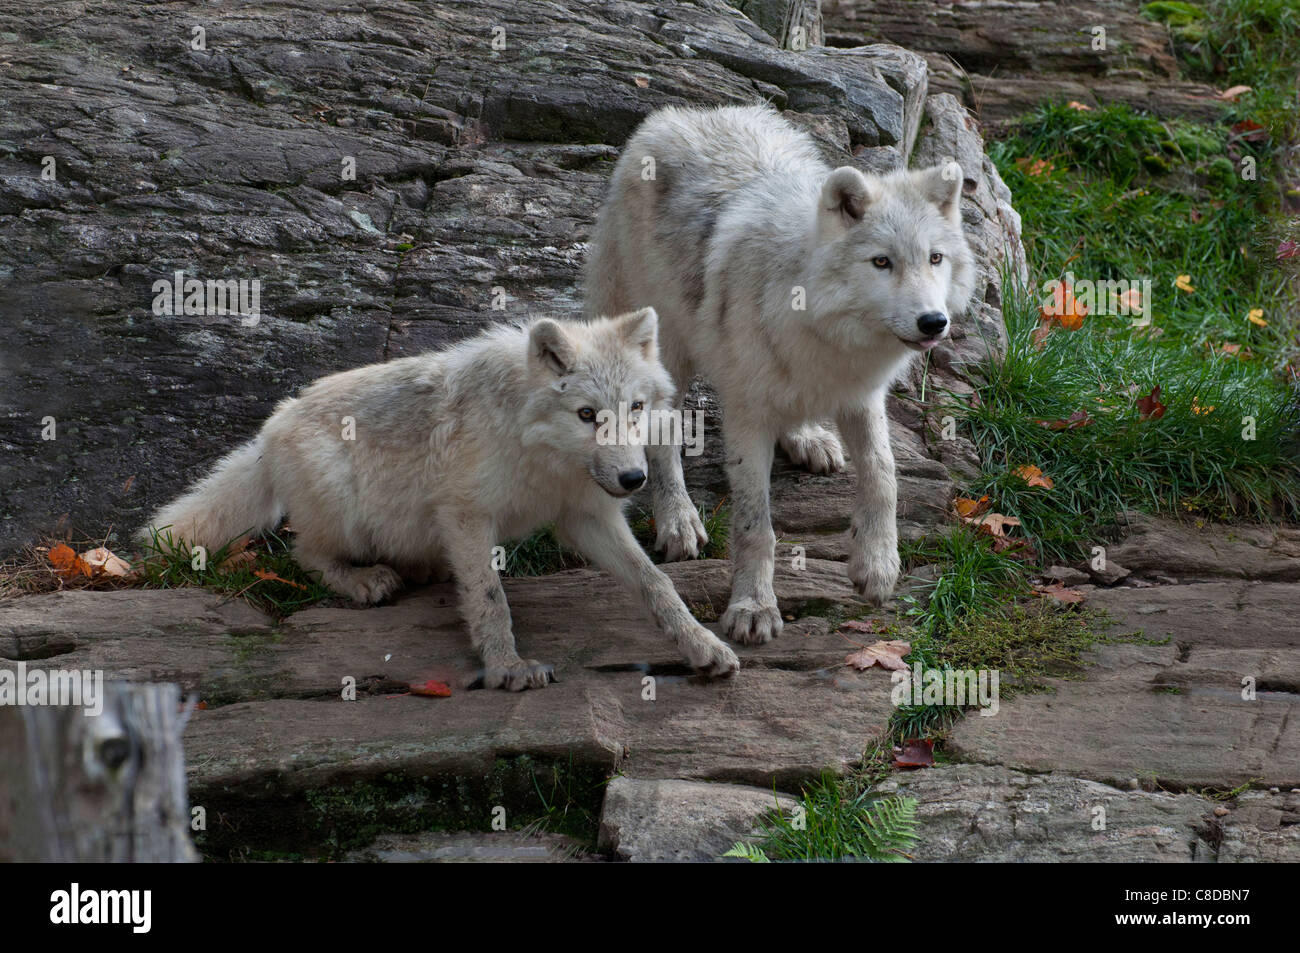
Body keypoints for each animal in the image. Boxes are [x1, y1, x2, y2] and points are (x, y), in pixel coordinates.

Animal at [141, 308, 740, 690]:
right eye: (588, 415)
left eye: (636, 407)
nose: (635, 478)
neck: (540, 455)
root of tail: (268, 429)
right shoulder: (467, 515)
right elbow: (490, 598)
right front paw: (507, 668)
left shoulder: (585, 518)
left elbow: (657, 583)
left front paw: (701, 646)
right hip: (343, 505)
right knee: (303, 553)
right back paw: (366, 581)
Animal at [585, 104, 975, 645]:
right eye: (882, 262)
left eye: (935, 258)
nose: (934, 322)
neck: (823, 331)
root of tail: (679, 114)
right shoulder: (747, 418)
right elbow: (755, 525)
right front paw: (753, 608)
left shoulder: (861, 395)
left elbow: (883, 475)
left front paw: (877, 567)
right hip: (670, 352)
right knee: (662, 440)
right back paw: (678, 520)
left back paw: (808, 439)